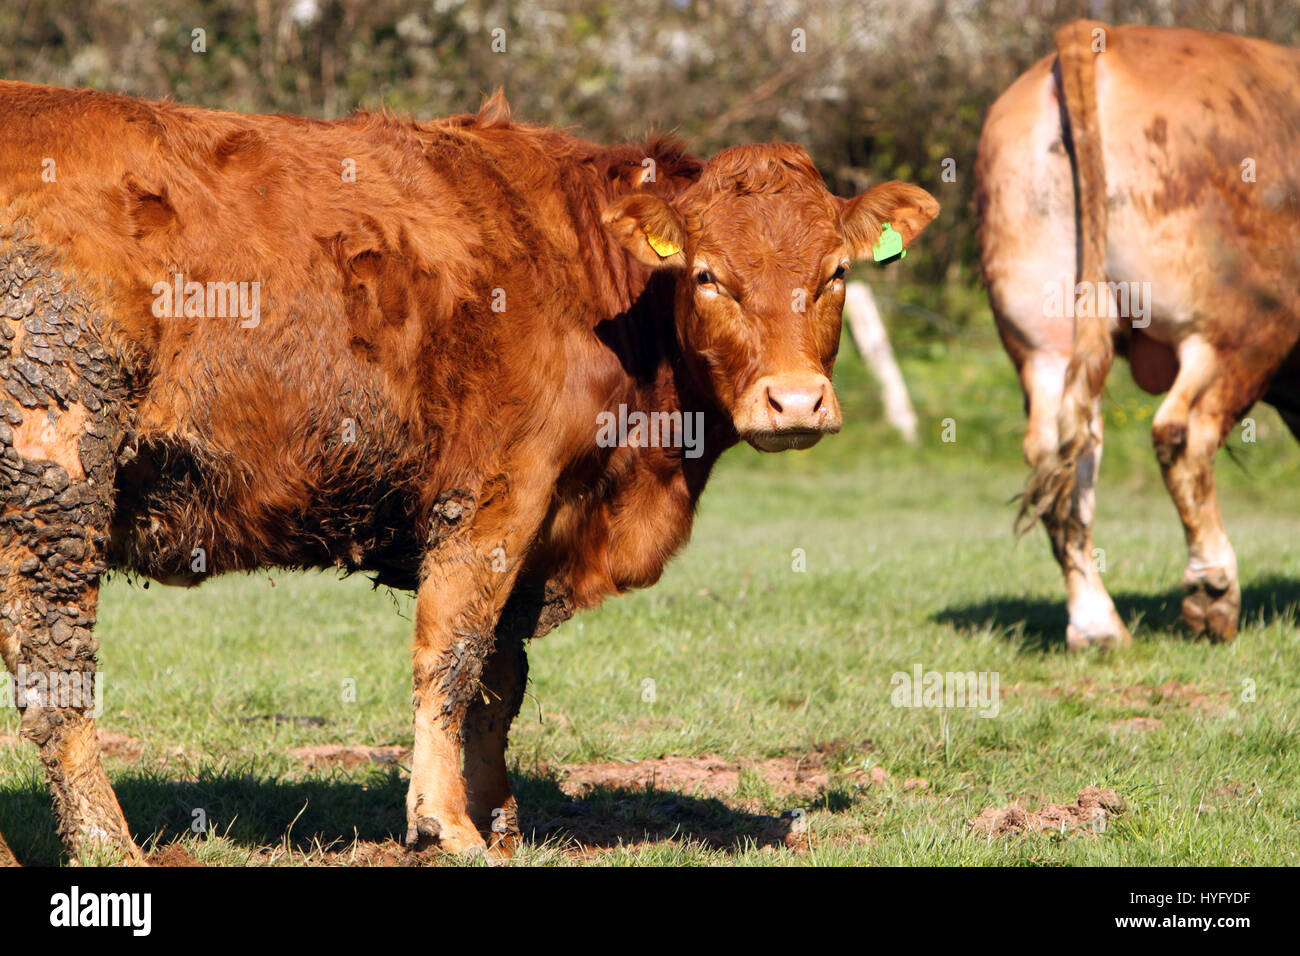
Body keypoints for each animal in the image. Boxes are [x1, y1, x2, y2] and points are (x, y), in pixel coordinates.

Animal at [0, 81, 938, 863]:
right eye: (709, 276)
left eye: (836, 274)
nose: (795, 401)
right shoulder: (498, 489)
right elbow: (451, 652)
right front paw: (447, 824)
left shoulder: (543, 521)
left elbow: (498, 679)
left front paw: (501, 819)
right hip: (57, 479)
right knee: (55, 675)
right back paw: (109, 847)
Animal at [975, 20, 1300, 649]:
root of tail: (1100, 36)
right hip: (1243, 329)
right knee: (1183, 433)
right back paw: (1212, 591)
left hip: (1045, 341)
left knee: (1064, 457)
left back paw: (1097, 626)